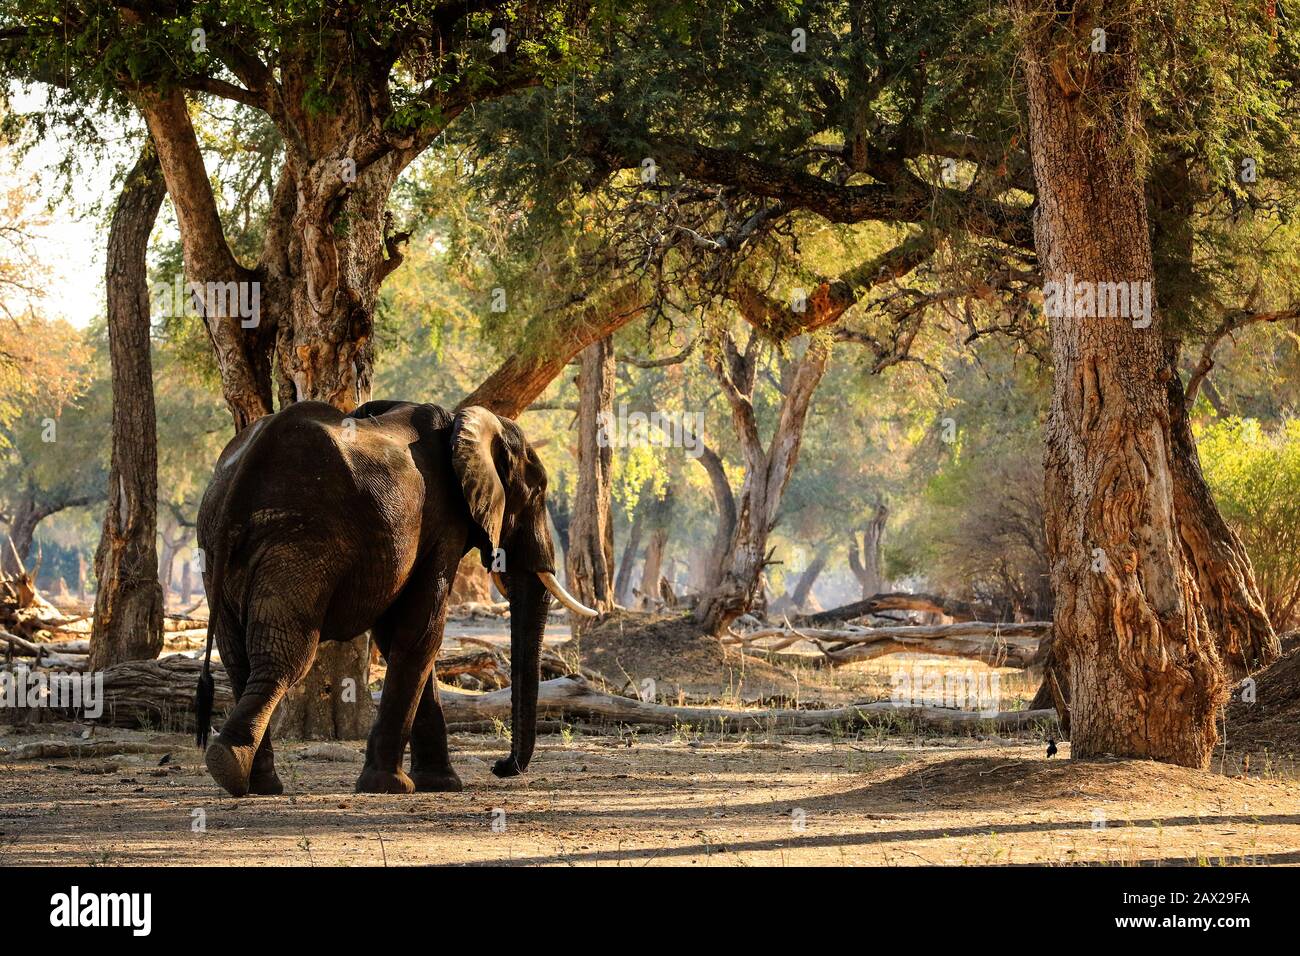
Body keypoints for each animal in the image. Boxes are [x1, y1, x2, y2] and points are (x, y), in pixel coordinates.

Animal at [192, 399, 597, 797]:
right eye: (539, 491)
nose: (500, 767)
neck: (462, 423)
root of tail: (242, 473)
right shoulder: (443, 522)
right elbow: (421, 632)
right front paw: (390, 786)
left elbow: (401, 638)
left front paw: (439, 784)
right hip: (299, 541)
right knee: (284, 656)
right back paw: (232, 767)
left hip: (218, 550)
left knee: (238, 657)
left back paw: (255, 782)